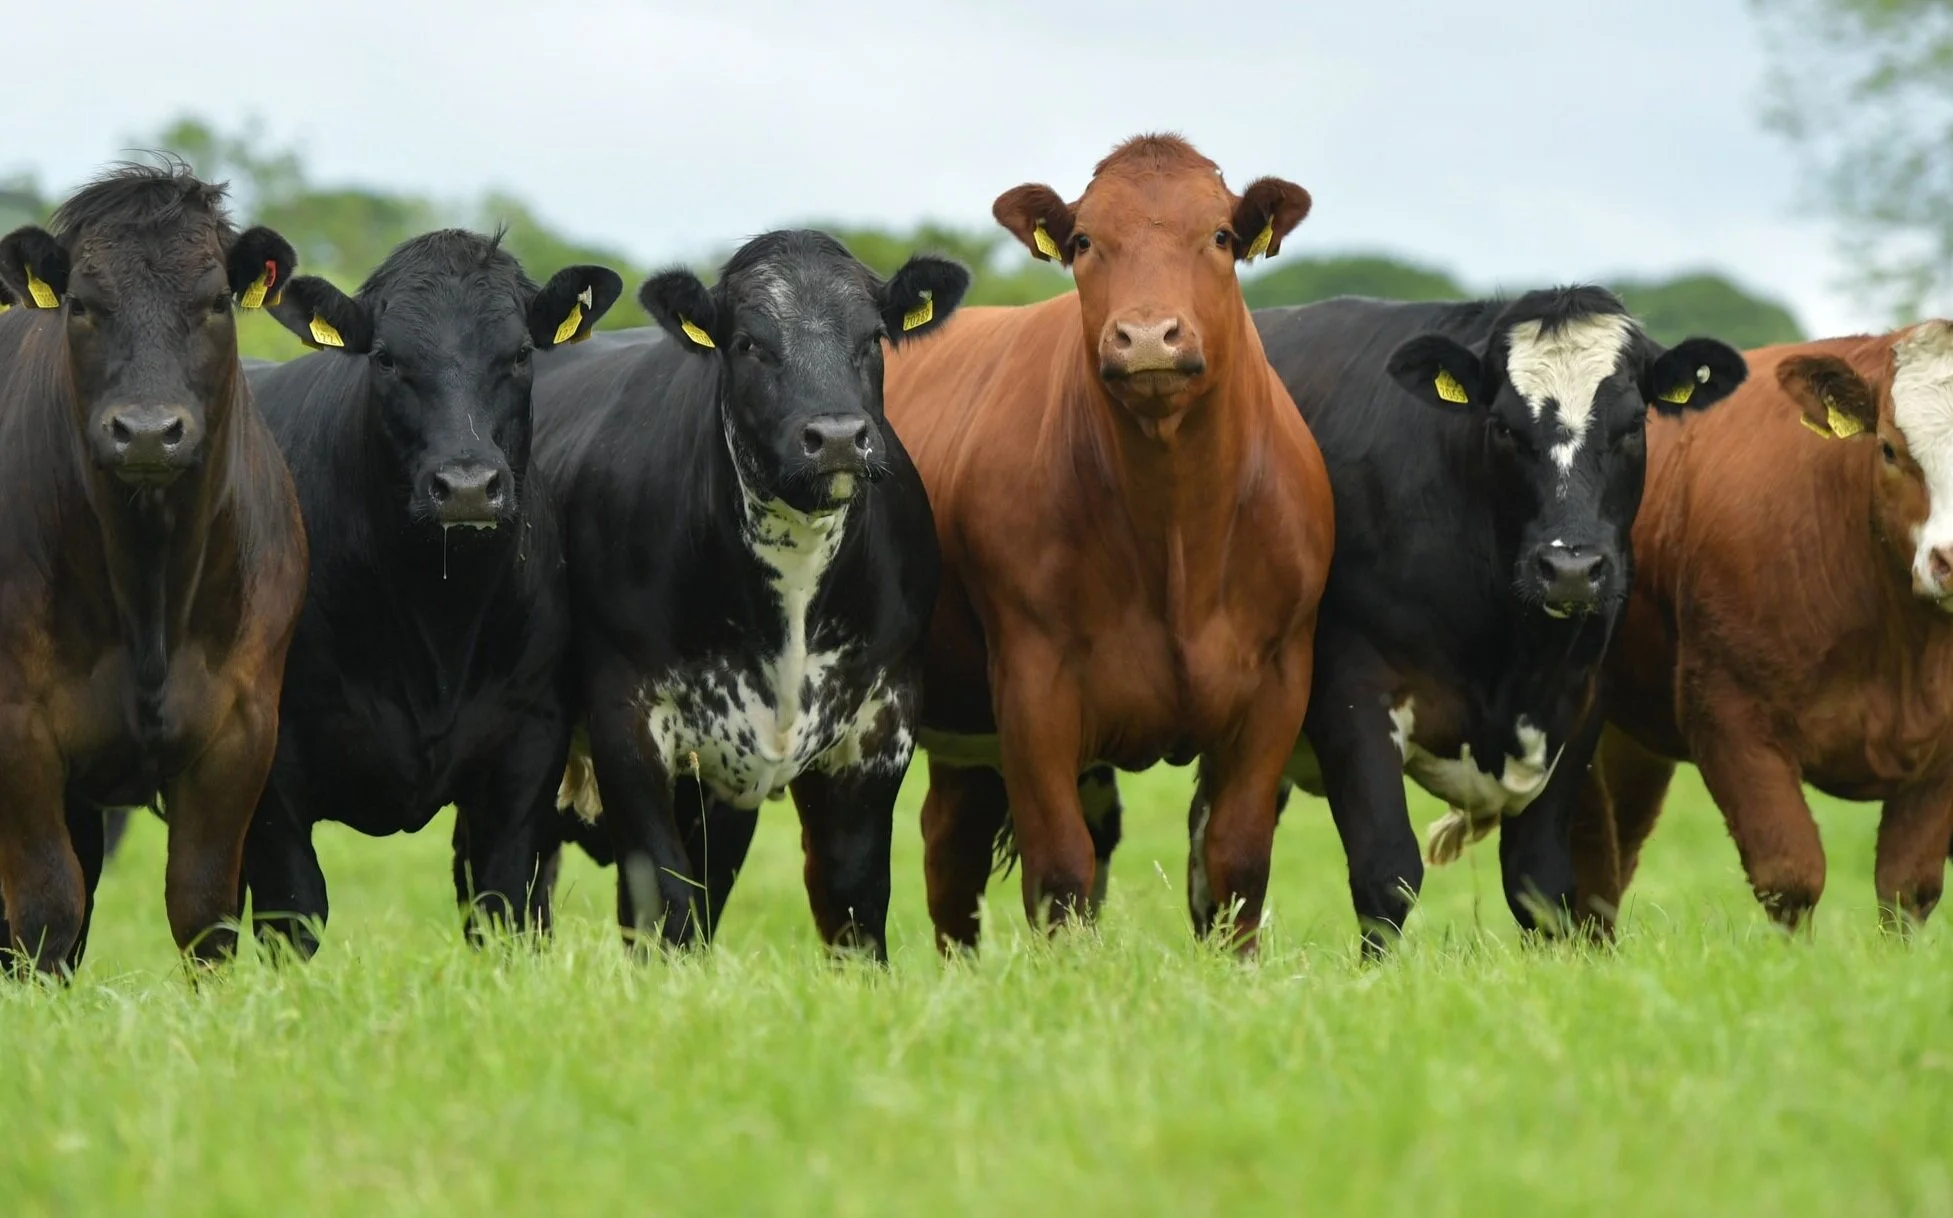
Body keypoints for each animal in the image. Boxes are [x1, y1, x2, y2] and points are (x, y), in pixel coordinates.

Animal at [0, 161, 306, 974]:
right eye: (82, 303)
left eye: (214, 302)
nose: (144, 432)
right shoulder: (18, 727)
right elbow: (46, 910)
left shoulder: (241, 730)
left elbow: (203, 912)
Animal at [232, 229, 621, 956]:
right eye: (387, 358)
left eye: (520, 353)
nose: (466, 486)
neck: (440, 620)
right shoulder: (272, 780)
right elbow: (295, 912)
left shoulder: (526, 752)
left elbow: (501, 905)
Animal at [535, 230, 968, 959]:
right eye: (747, 343)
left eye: (873, 337)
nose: (838, 438)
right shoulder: (627, 719)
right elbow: (668, 897)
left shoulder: (882, 723)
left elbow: (853, 902)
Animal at [882, 133, 1333, 952]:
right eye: (1085, 241)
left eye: (1222, 235)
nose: (1147, 336)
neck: (1175, 533)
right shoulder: (1032, 685)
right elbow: (1061, 865)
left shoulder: (1281, 682)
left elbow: (1235, 863)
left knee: (950, 846)